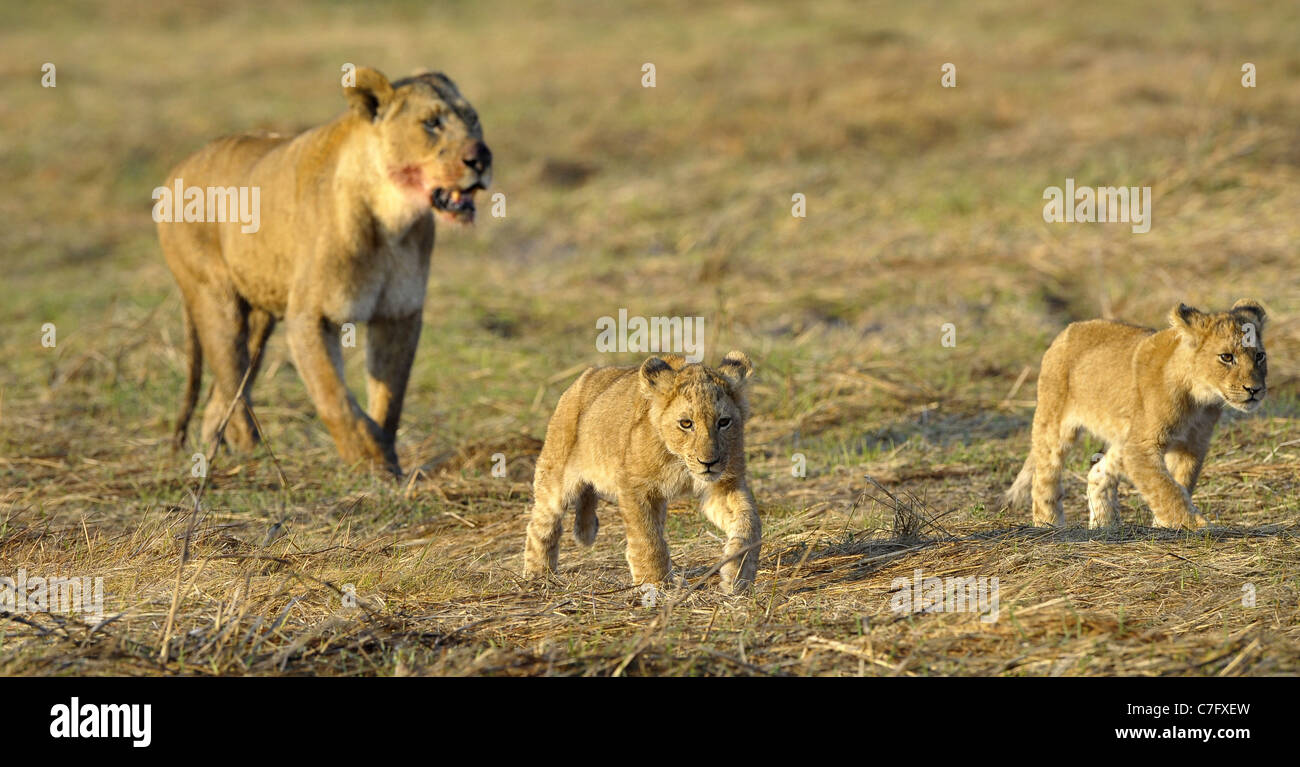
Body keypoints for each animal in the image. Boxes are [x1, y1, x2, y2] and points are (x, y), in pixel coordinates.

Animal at [157, 67, 491, 476]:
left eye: (473, 119)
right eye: (432, 123)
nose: (481, 157)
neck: (392, 221)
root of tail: (178, 168)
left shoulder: (399, 314)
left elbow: (389, 399)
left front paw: (388, 462)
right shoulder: (311, 318)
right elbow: (337, 400)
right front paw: (370, 462)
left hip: (260, 315)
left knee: (223, 392)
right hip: (215, 299)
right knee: (232, 381)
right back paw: (255, 454)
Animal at [523, 351, 762, 593]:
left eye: (724, 422)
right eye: (686, 423)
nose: (709, 462)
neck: (679, 462)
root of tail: (585, 376)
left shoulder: (724, 485)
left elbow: (750, 523)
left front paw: (738, 574)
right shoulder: (635, 486)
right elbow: (647, 537)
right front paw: (656, 583)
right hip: (555, 477)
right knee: (540, 525)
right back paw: (538, 576)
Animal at [1006, 299, 1267, 529]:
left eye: (1259, 356)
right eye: (1226, 357)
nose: (1254, 390)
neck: (1200, 399)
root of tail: (1068, 329)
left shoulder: (1191, 447)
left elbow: (1179, 484)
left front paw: (1165, 527)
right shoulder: (1141, 447)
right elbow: (1167, 490)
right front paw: (1197, 526)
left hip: (1123, 439)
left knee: (1096, 473)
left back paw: (1104, 526)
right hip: (1054, 424)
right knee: (1044, 478)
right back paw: (1049, 525)